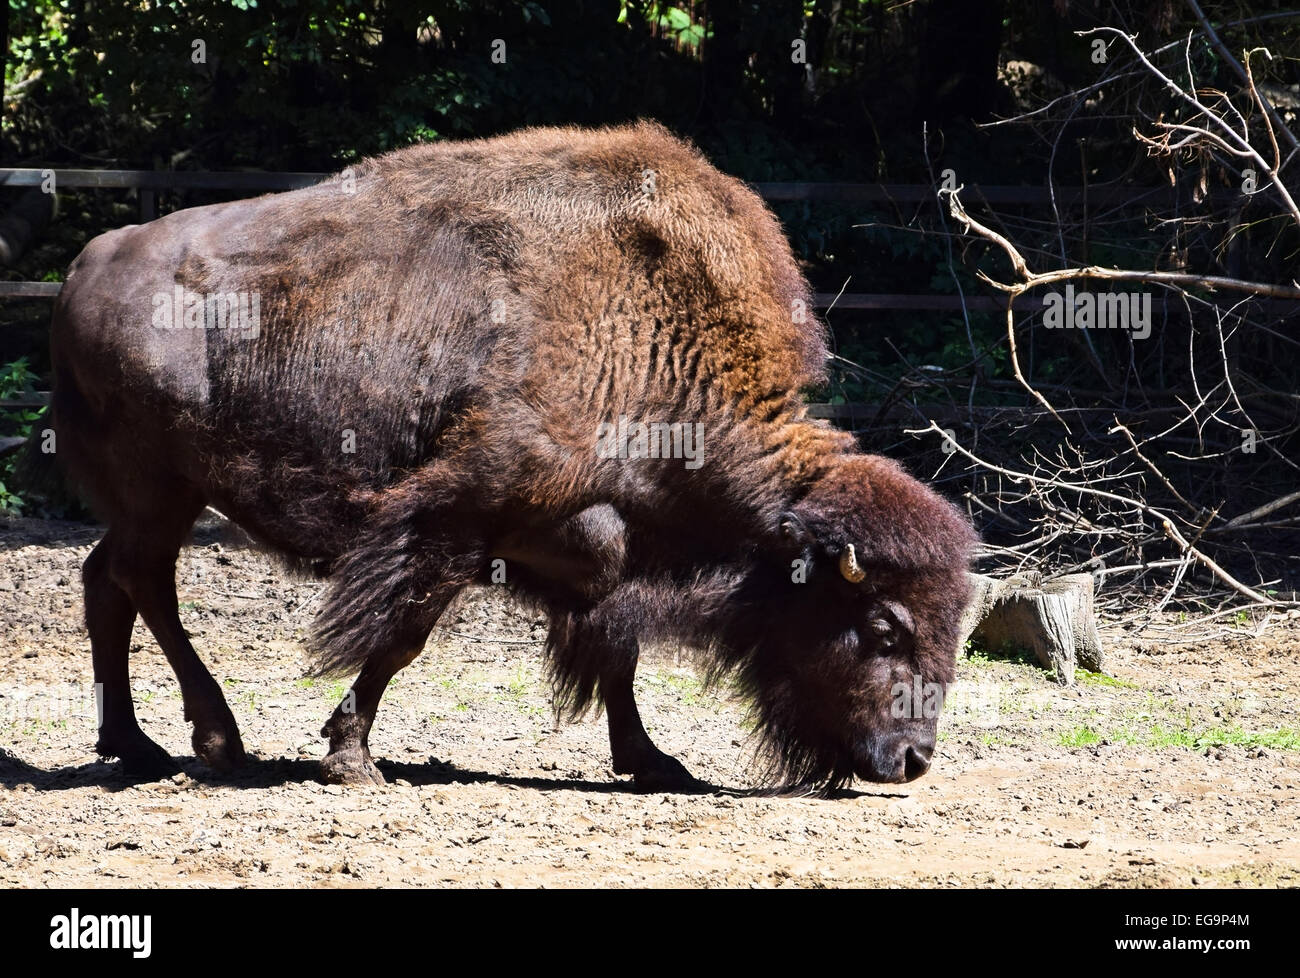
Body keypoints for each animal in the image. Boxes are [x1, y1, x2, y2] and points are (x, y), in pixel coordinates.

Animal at [50, 121, 974, 792]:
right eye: (882, 627)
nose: (913, 760)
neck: (651, 334)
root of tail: (89, 262)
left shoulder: (599, 546)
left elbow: (613, 644)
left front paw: (654, 762)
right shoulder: (461, 516)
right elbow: (402, 636)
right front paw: (351, 759)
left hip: (155, 500)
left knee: (106, 579)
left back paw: (133, 744)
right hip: (161, 489)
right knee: (142, 582)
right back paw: (216, 739)